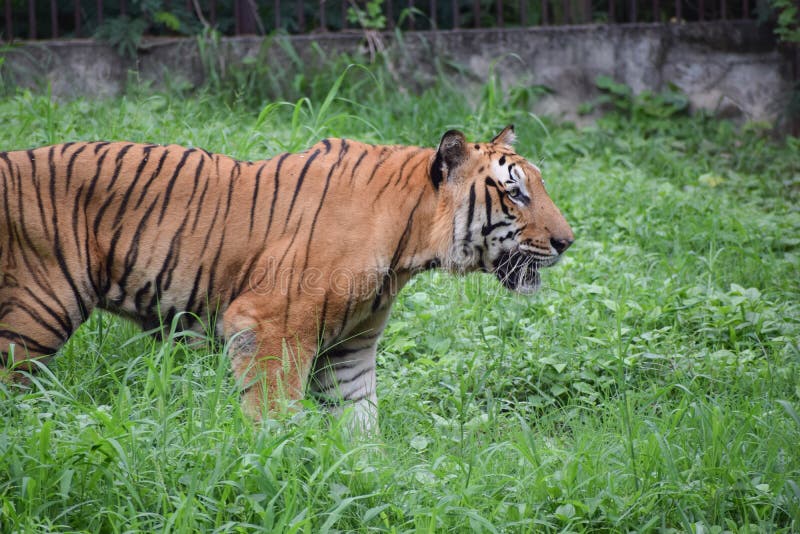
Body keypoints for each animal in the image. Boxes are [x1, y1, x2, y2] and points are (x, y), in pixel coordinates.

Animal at [0, 125, 573, 431]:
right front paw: (278, 464)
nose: (568, 241)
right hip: (37, 315)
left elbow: (361, 428)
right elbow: (274, 414)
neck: (411, 247)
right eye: (515, 192)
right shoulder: (269, 324)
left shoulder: (350, 349)